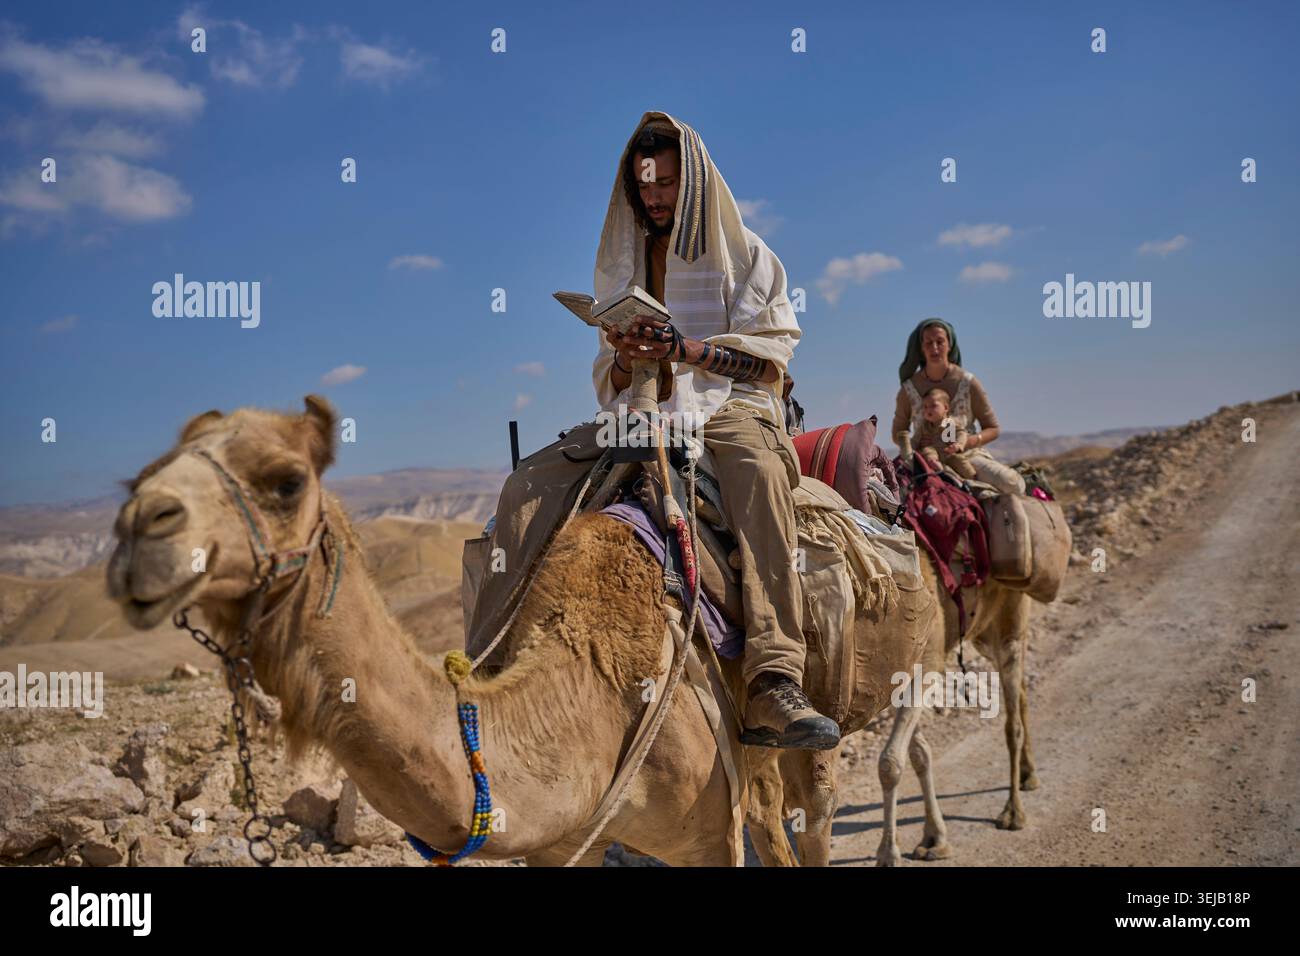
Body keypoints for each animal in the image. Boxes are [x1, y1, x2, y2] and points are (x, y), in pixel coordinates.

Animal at [106, 394, 933, 866]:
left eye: (286, 482)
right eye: (141, 473)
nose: (141, 525)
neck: (592, 692)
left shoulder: (707, 838)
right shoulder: (562, 843)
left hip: (825, 710)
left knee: (813, 811)